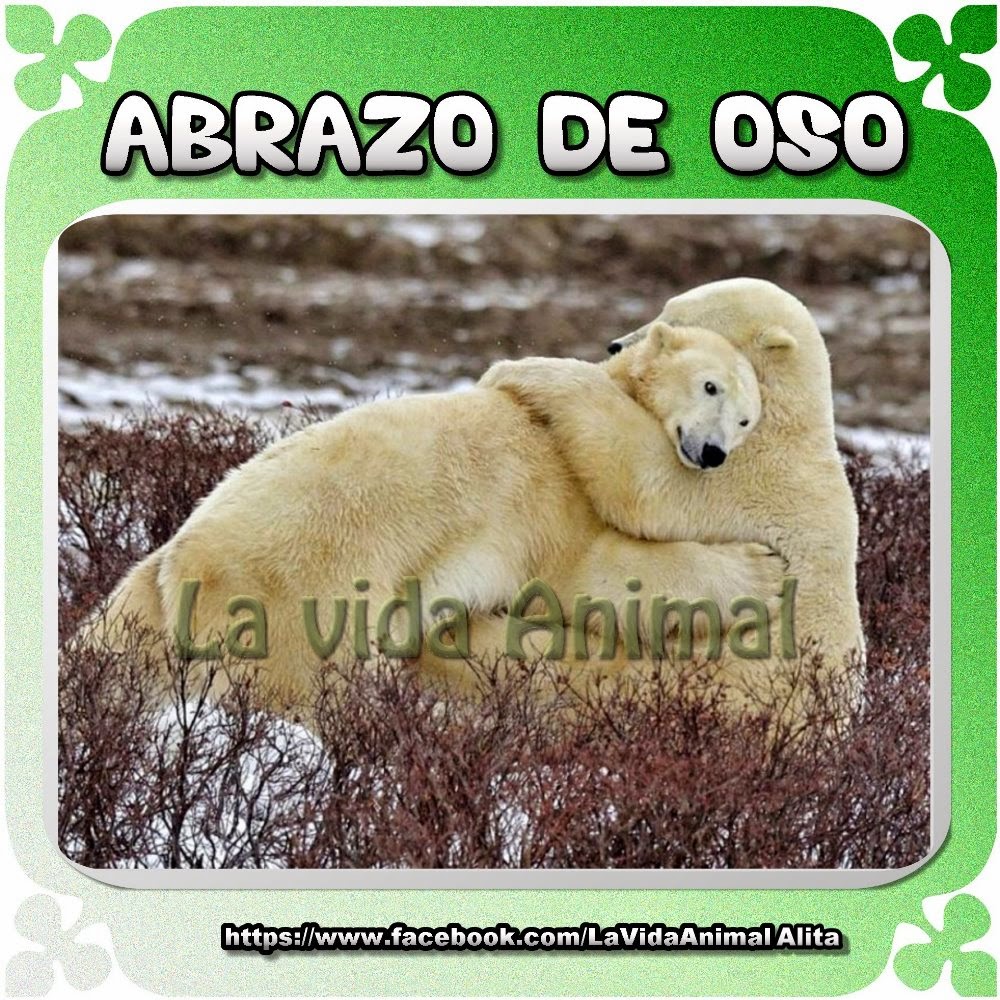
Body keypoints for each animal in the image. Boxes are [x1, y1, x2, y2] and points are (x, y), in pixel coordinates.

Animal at [85, 320, 784, 723]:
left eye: (746, 417)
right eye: (711, 387)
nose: (713, 453)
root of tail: (182, 562)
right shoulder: (555, 493)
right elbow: (596, 573)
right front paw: (765, 569)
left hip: (144, 599)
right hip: (295, 599)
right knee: (305, 686)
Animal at [478, 277, 864, 720]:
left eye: (679, 317)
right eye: (666, 307)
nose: (615, 345)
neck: (790, 418)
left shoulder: (747, 475)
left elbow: (644, 480)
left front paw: (520, 370)